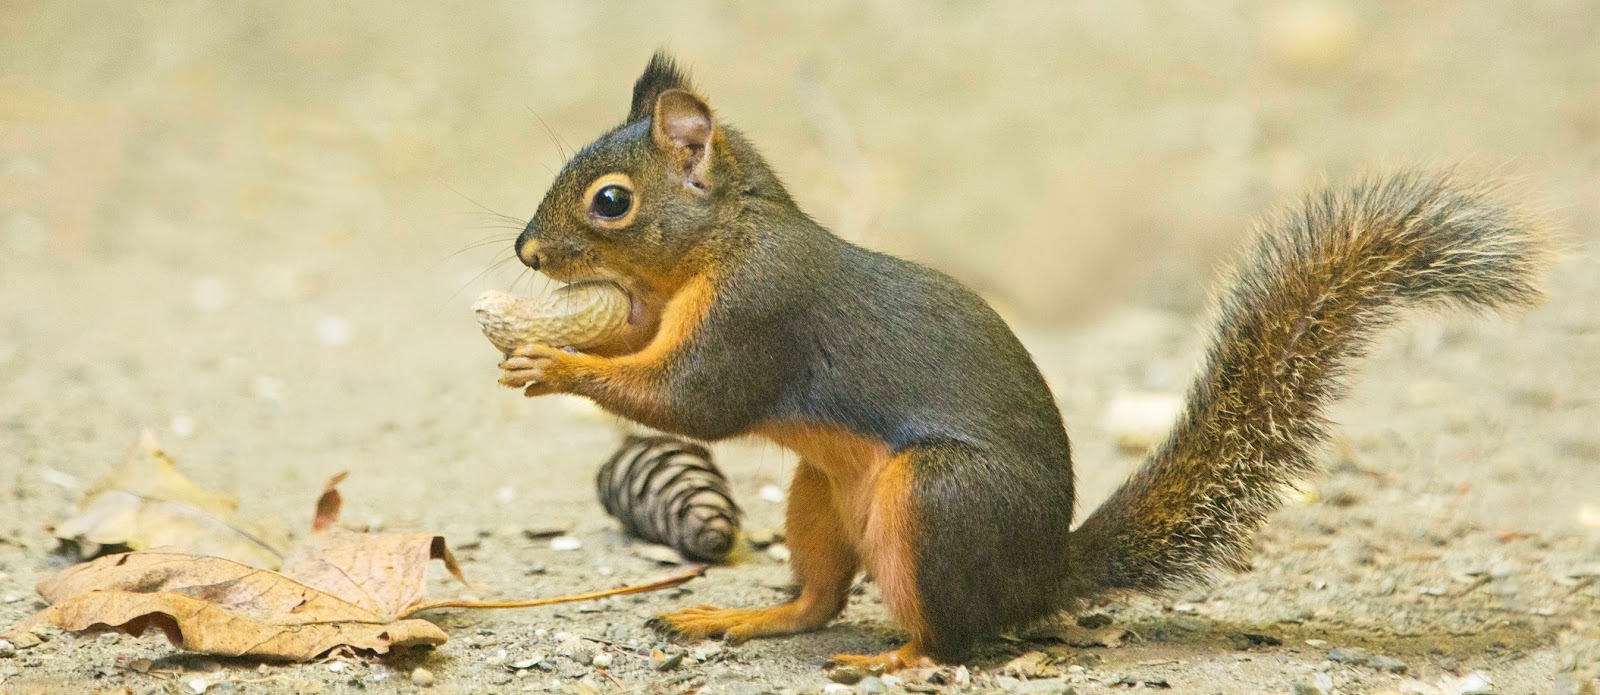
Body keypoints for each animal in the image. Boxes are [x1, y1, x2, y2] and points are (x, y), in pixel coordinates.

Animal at [495, 52, 1553, 670]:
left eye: (611, 202)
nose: (525, 253)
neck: (721, 240)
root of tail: (1042, 573)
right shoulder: (666, 311)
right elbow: (637, 349)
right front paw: (536, 340)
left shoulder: (759, 313)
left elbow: (692, 399)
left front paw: (549, 361)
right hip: (819, 491)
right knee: (822, 598)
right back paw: (744, 620)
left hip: (937, 498)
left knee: (956, 639)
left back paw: (896, 659)